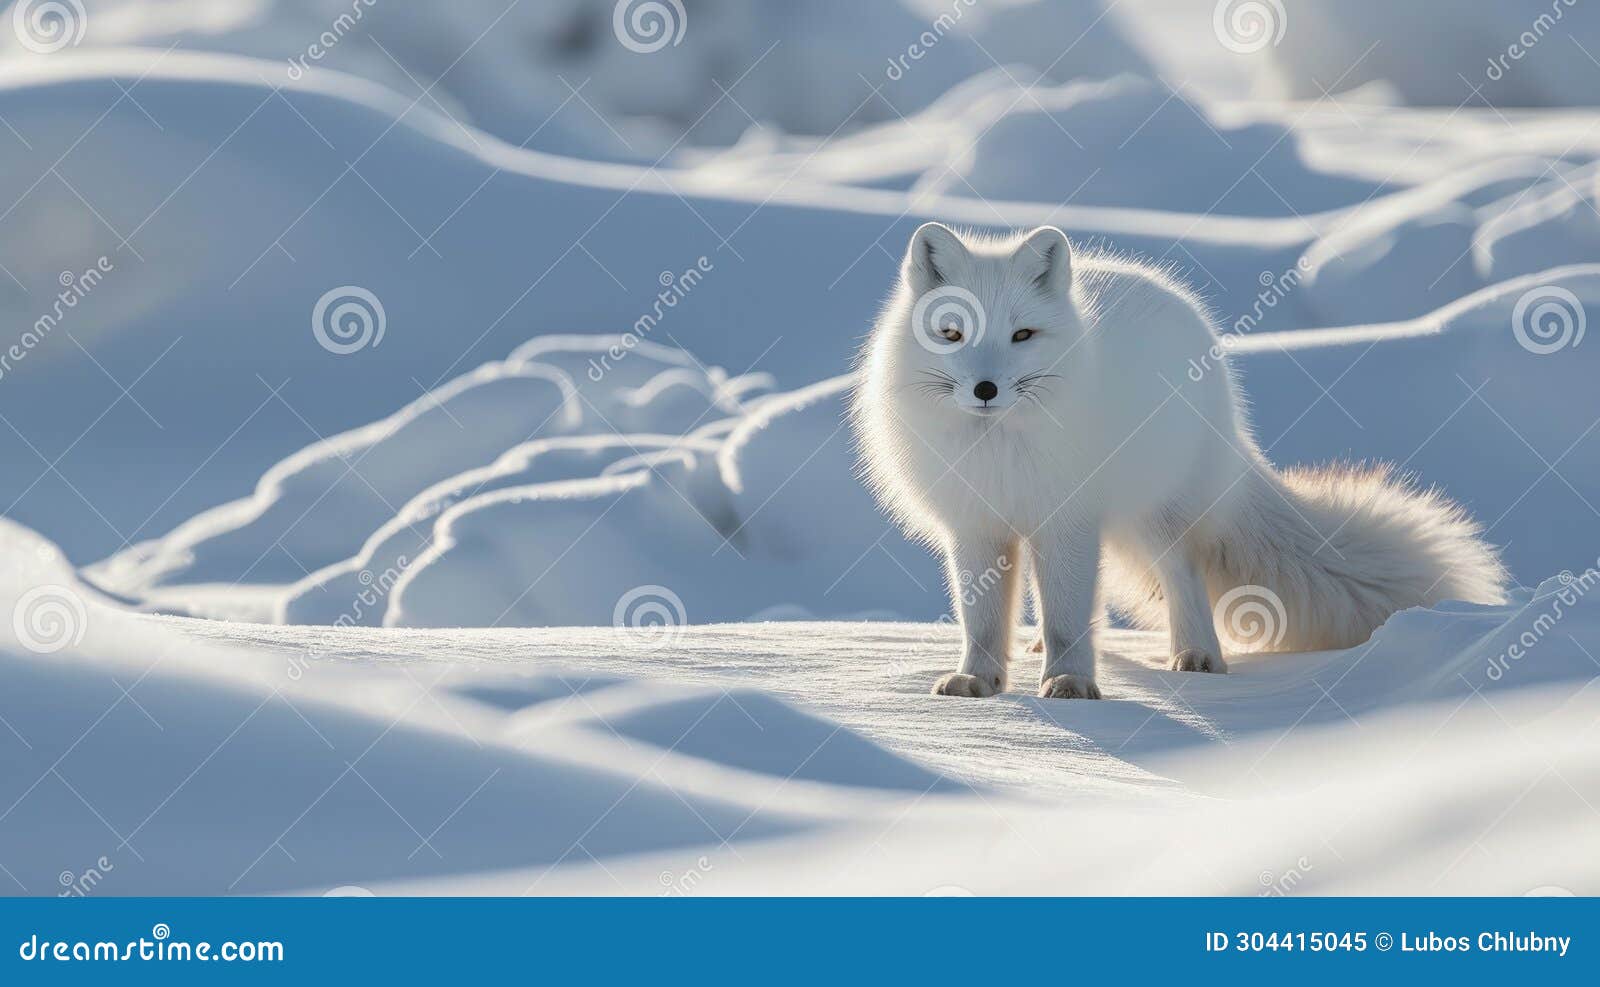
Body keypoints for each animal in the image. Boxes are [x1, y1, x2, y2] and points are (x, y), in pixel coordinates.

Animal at [850, 223, 1509, 700]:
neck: (998, 448)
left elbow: (1066, 615)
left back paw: (1197, 656)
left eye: (1022, 336)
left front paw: (1071, 681)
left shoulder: (1068, 521)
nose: (985, 388)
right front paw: (980, 681)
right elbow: (983, 620)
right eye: (953, 333)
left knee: (1183, 578)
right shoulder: (976, 526)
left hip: (1156, 519)